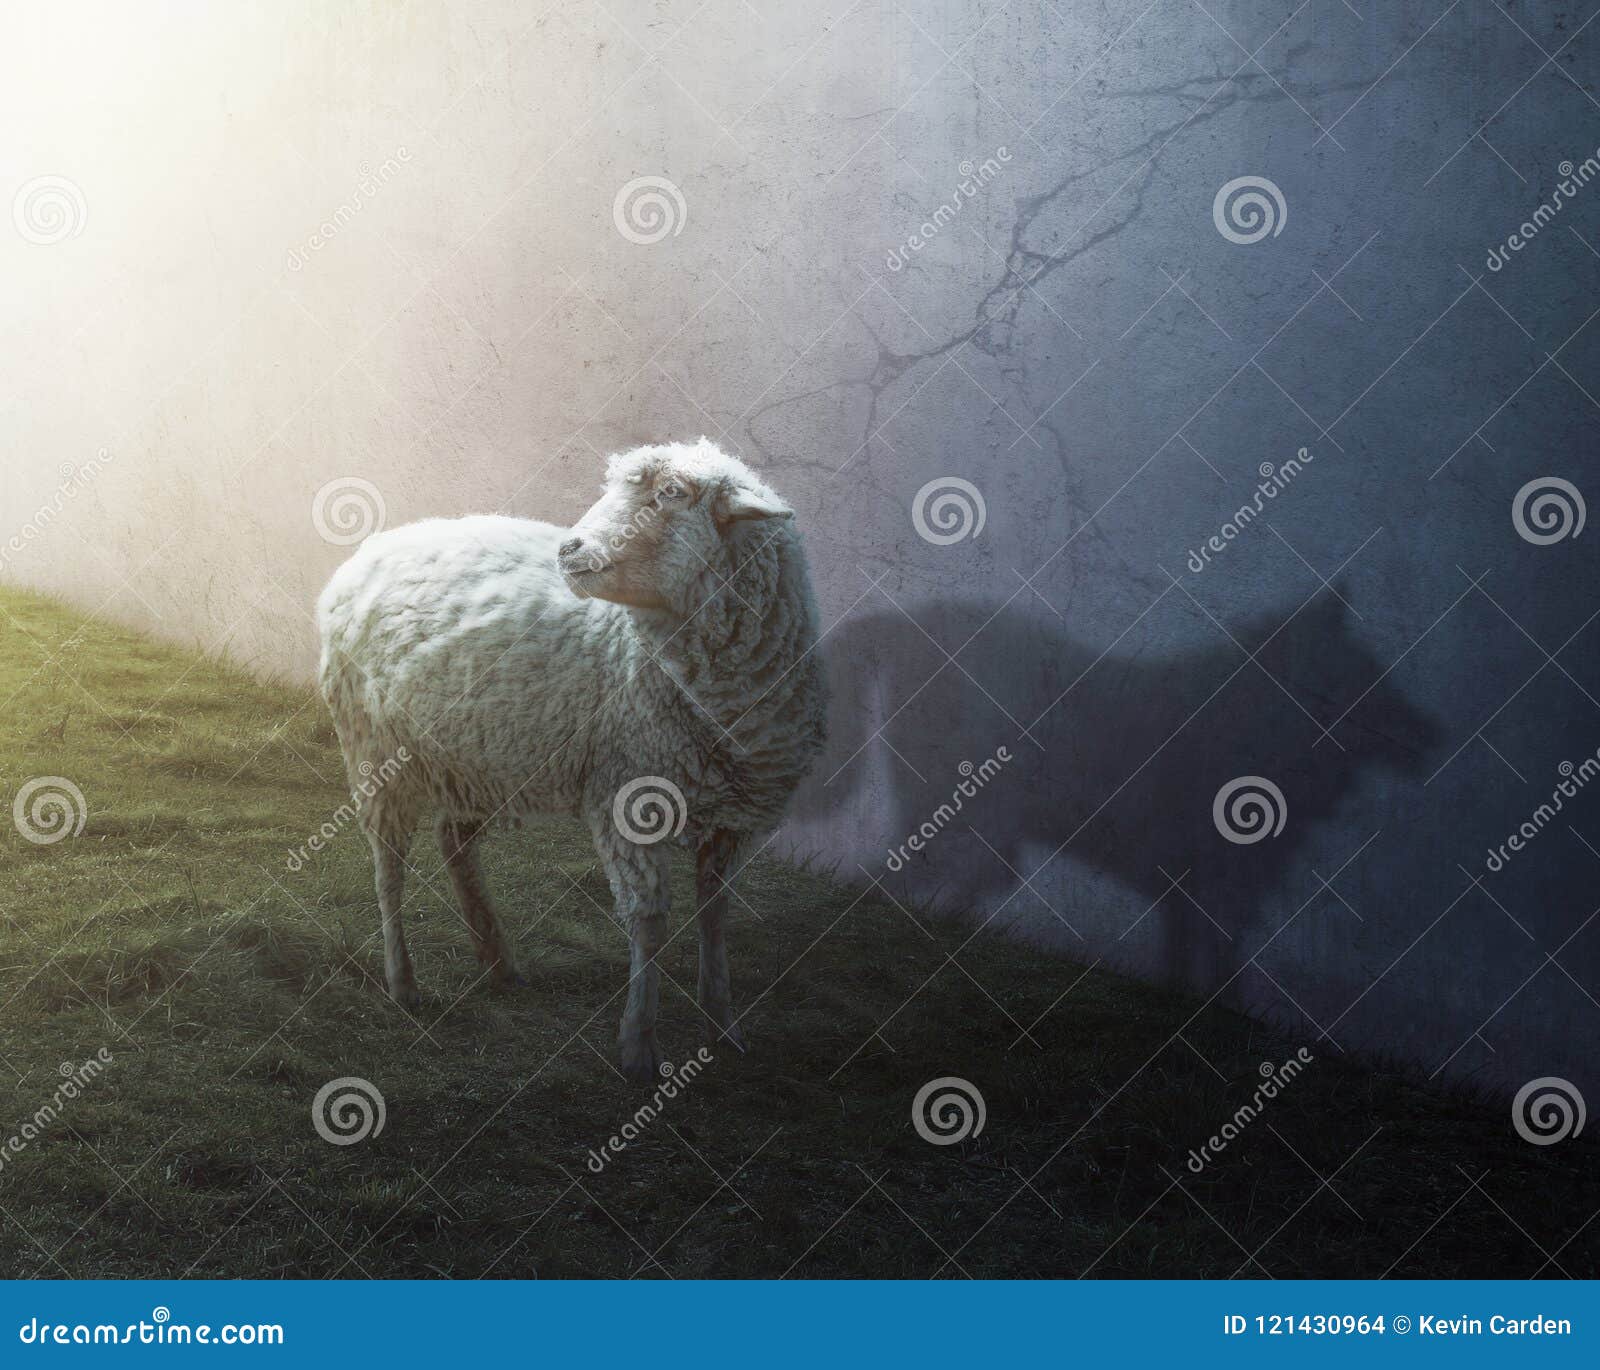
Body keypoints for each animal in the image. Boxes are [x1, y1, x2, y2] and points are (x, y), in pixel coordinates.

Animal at [315, 439, 827, 1081]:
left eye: (671, 494)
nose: (569, 549)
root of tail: (373, 549)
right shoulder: (626, 798)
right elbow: (649, 921)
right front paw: (638, 1045)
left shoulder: (733, 819)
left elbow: (716, 916)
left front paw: (723, 1024)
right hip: (378, 753)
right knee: (388, 867)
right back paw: (402, 979)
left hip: (477, 754)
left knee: (454, 843)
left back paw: (498, 958)